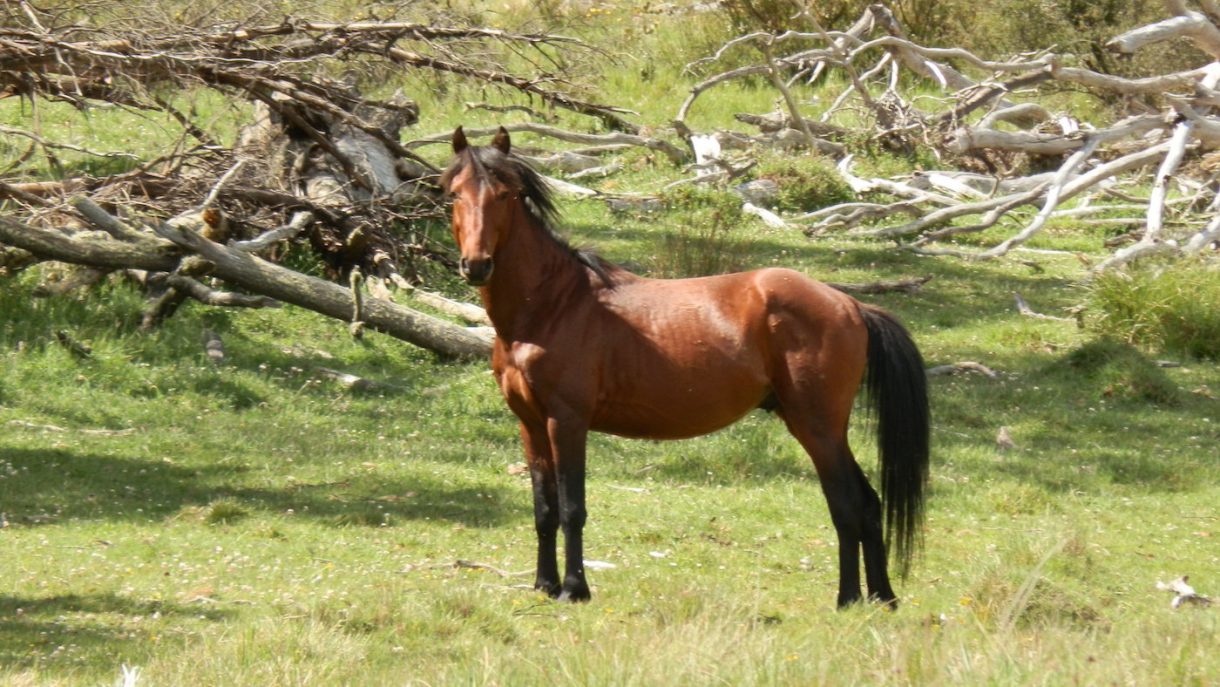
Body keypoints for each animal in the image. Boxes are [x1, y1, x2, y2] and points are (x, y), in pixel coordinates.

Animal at [441, 126, 930, 607]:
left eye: (506, 194)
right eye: (454, 194)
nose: (477, 265)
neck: (551, 305)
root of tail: (849, 304)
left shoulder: (567, 421)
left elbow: (572, 508)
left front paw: (574, 590)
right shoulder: (530, 423)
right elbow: (544, 509)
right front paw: (544, 584)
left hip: (818, 428)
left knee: (847, 506)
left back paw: (848, 598)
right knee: (868, 503)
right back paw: (881, 597)